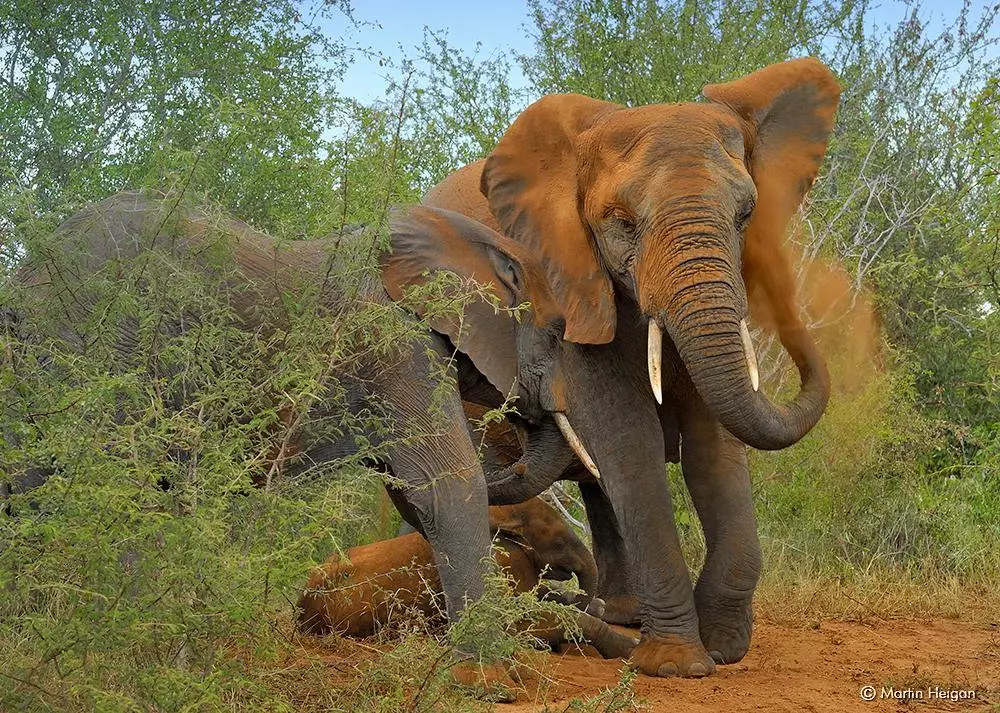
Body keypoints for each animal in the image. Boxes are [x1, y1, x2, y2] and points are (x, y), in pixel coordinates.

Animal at [418, 58, 840, 676]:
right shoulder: (570, 281)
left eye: (746, 214)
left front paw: (724, 649)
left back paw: (621, 615)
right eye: (620, 222)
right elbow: (629, 440)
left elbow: (712, 444)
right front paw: (676, 666)